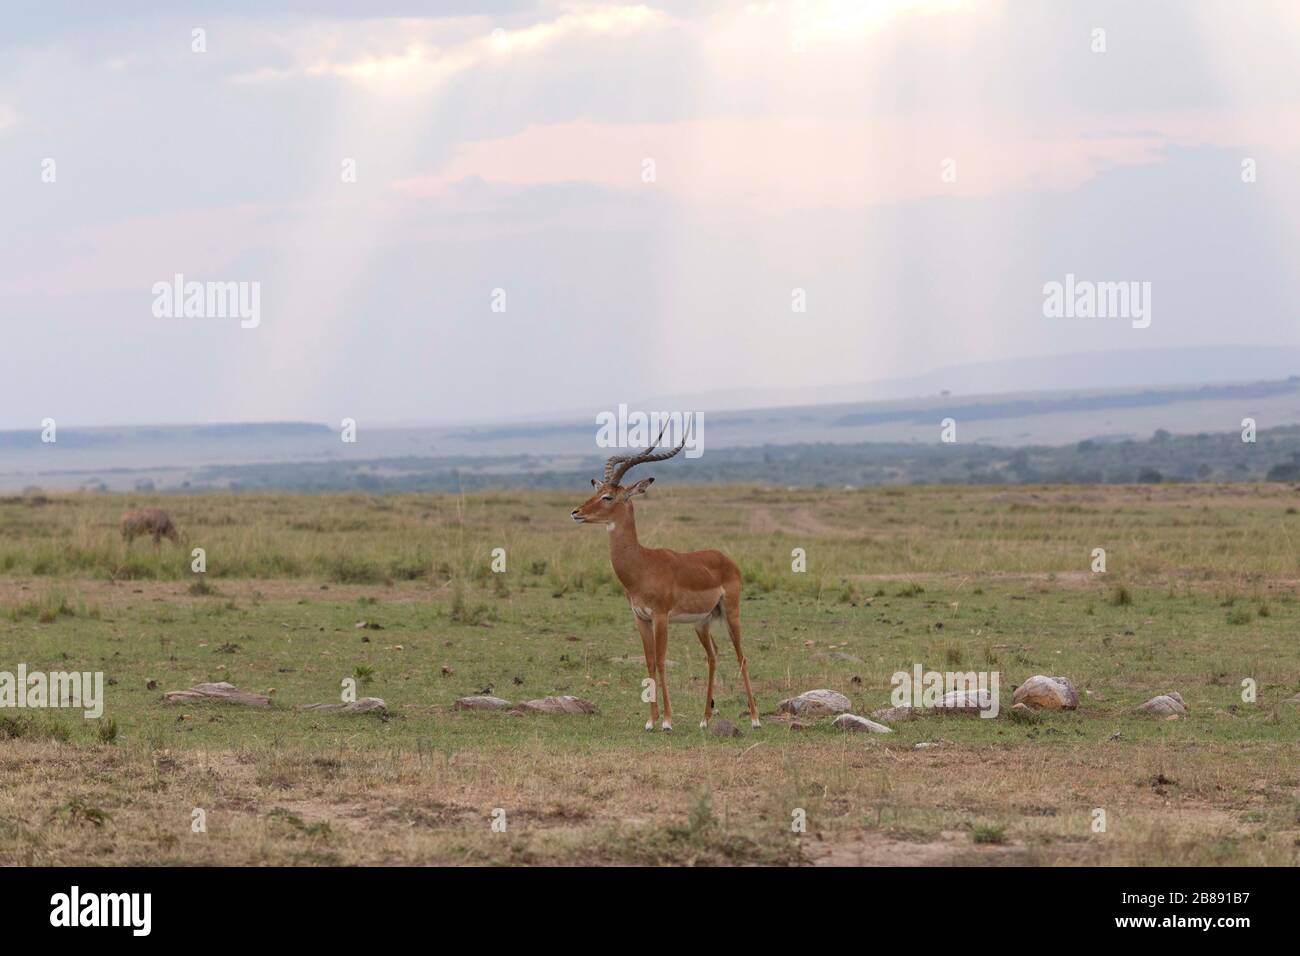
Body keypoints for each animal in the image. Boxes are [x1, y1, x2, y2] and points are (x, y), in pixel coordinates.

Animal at [571, 428, 759, 732]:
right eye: (596, 491)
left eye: (608, 497)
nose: (576, 512)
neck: (642, 565)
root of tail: (725, 558)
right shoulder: (641, 618)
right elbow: (648, 662)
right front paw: (651, 720)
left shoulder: (661, 617)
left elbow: (660, 662)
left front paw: (668, 721)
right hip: (702, 623)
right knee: (713, 656)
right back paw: (704, 719)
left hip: (731, 614)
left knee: (741, 656)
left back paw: (754, 719)